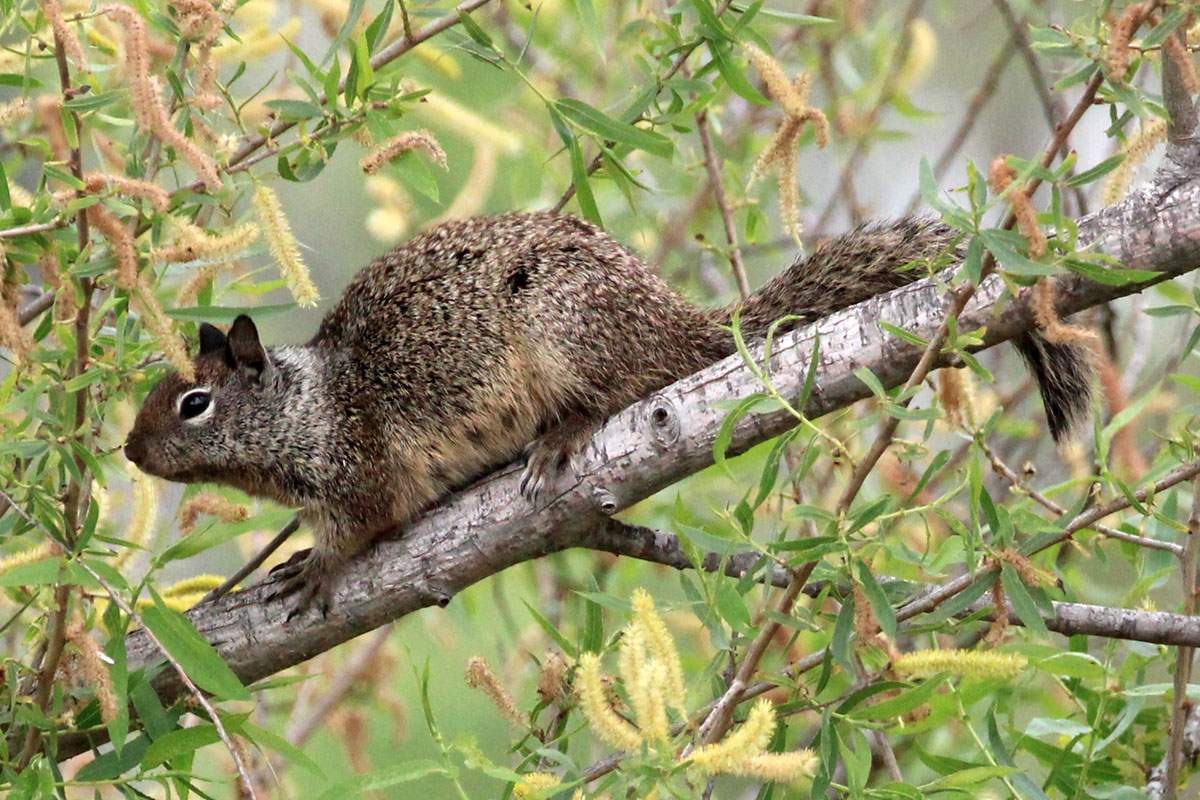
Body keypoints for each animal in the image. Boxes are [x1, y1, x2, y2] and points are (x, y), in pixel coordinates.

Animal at [124, 211, 1091, 616]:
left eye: (195, 402)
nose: (129, 453)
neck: (310, 407)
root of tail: (673, 319)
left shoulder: (358, 468)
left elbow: (360, 526)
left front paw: (311, 571)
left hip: (566, 333)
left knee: (623, 387)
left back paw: (564, 435)